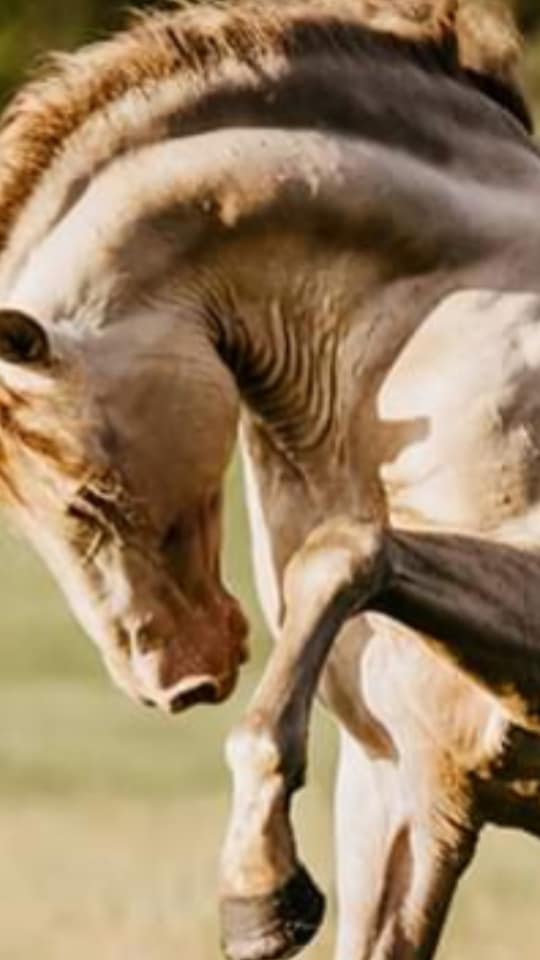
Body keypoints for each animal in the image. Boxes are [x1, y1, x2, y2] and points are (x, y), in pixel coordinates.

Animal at [0, 1, 539, 957]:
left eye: (86, 494)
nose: (172, 680)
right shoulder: (407, 792)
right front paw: (264, 890)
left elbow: (344, 553)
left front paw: (257, 896)